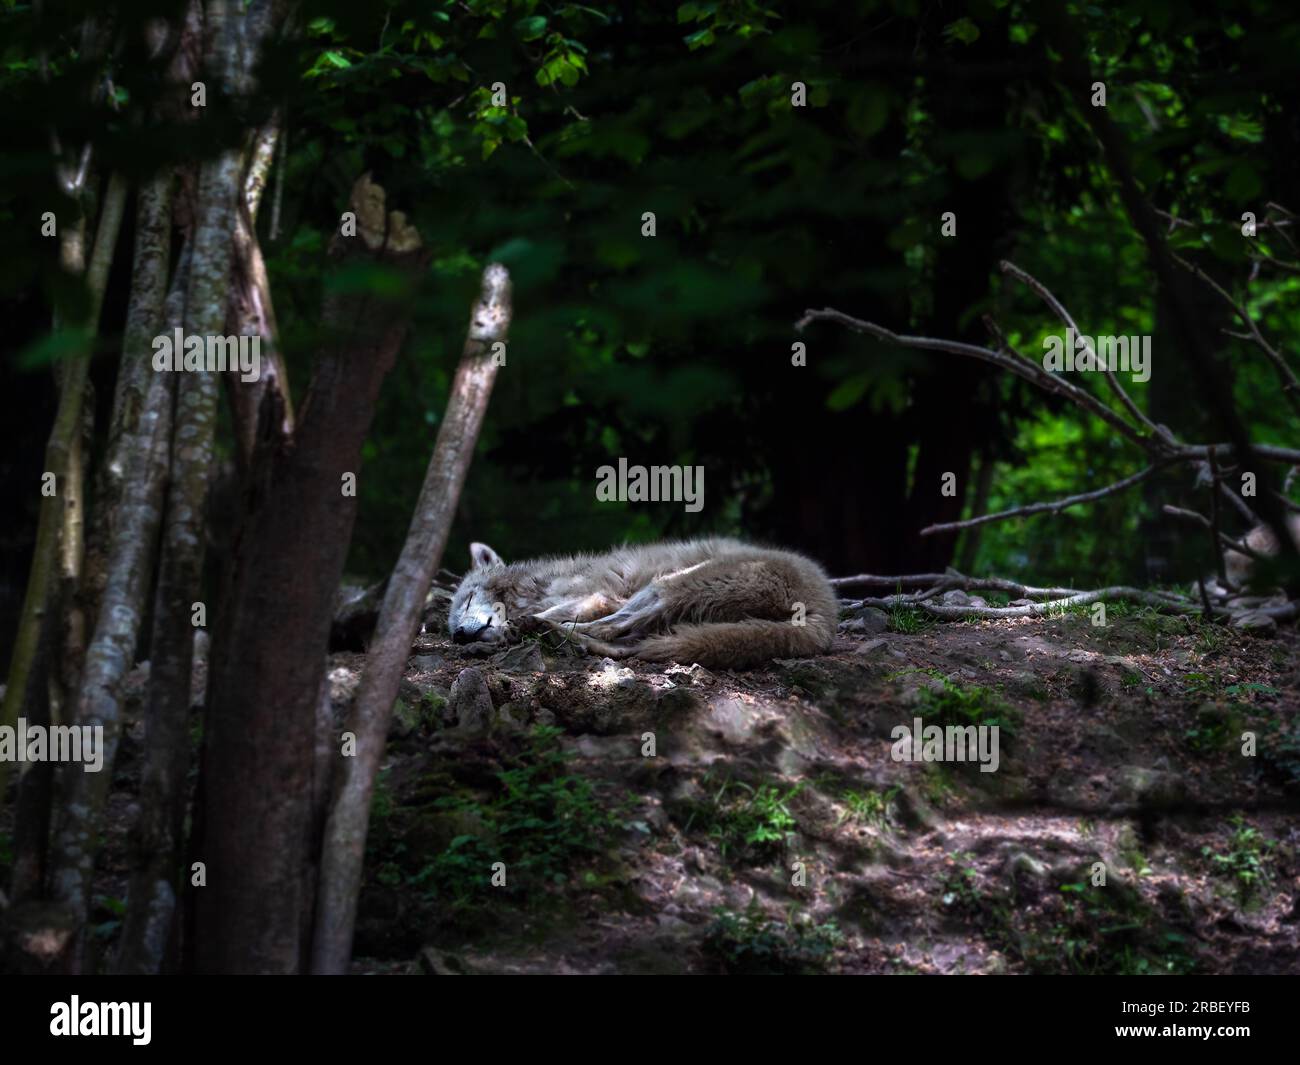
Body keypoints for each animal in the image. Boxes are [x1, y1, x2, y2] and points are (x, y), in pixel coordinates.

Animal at [447, 538, 839, 669]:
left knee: (611, 628)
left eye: (467, 600)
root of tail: (826, 612)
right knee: (626, 645)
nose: (459, 636)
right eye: (452, 624)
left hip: (666, 586)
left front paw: (520, 625)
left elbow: (560, 610)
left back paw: (546, 630)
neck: (539, 585)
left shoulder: (600, 595)